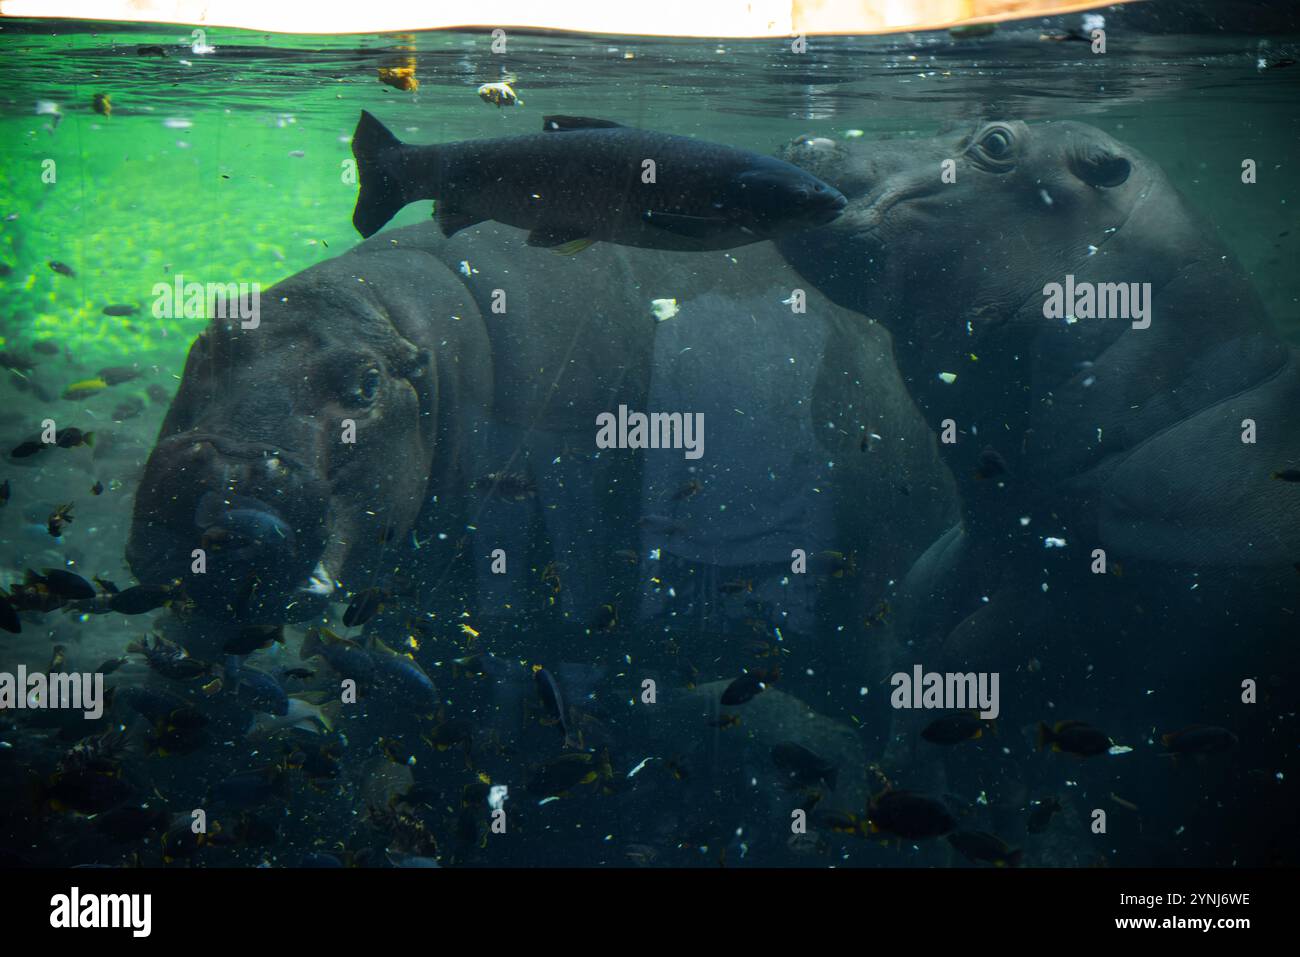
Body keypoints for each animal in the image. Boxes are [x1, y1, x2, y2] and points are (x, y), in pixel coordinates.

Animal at [777, 120, 1300, 863]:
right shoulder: (972, 554)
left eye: (996, 141)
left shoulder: (1086, 604)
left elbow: (977, 646)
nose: (805, 139)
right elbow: (928, 637)